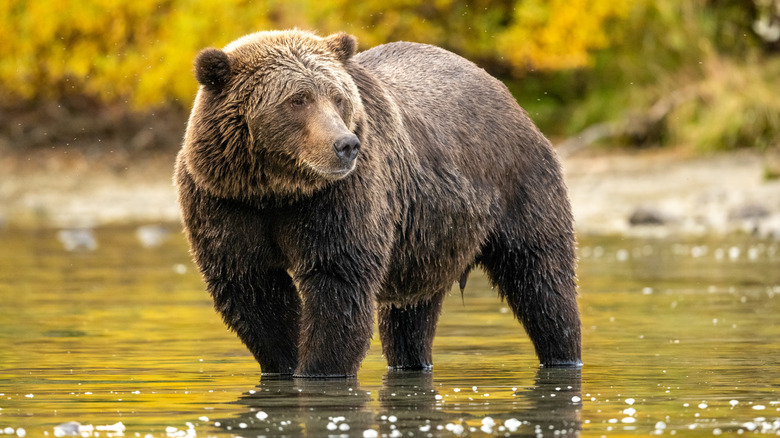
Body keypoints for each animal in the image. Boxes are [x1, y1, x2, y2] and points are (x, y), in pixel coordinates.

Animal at [175, 29, 581, 377]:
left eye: (338, 97)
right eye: (297, 99)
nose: (345, 144)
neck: (278, 189)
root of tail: (503, 91)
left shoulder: (339, 198)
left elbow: (337, 284)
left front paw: (319, 370)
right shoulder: (224, 201)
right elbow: (254, 288)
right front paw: (285, 365)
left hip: (517, 182)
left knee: (541, 279)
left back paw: (563, 354)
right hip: (428, 238)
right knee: (411, 315)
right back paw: (412, 362)